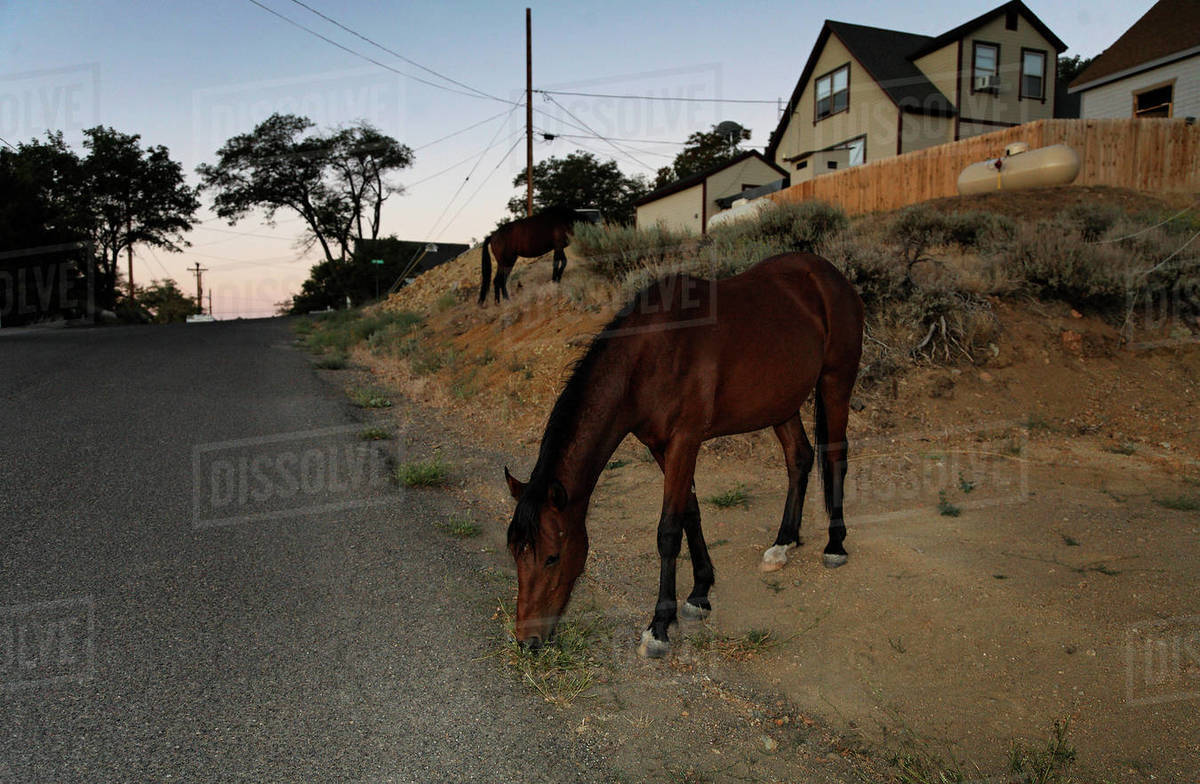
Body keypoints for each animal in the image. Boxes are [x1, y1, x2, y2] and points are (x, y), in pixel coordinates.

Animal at [503, 252, 864, 658]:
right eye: (515, 552)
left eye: (552, 556)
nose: (527, 640)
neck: (651, 356)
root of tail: (829, 274)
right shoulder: (661, 447)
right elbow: (690, 512)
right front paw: (699, 593)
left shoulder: (684, 442)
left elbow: (668, 531)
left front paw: (659, 626)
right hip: (782, 403)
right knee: (799, 458)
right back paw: (782, 544)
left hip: (835, 381)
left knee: (835, 458)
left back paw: (835, 545)